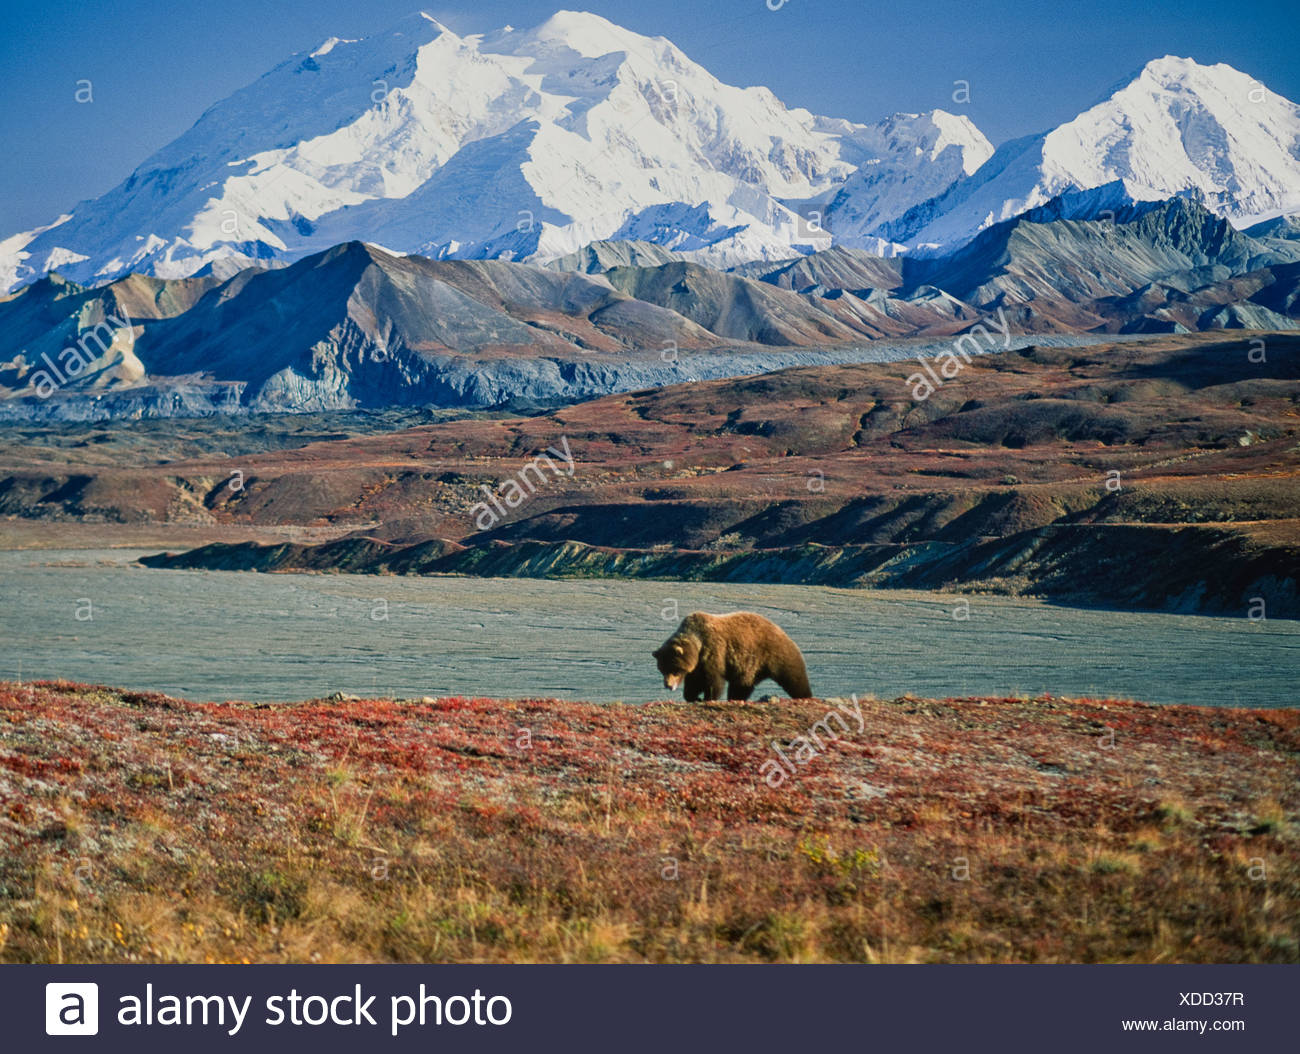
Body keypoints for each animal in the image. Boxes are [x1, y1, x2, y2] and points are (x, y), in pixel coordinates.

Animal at [653, 611, 812, 702]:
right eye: (662, 670)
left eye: (674, 670)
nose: (668, 685)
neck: (698, 643)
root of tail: (780, 630)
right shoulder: (697, 666)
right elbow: (694, 682)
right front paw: (694, 697)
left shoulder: (714, 651)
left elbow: (713, 680)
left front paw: (708, 698)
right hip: (750, 668)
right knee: (742, 685)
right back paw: (735, 698)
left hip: (775, 653)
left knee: (794, 677)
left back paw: (805, 695)